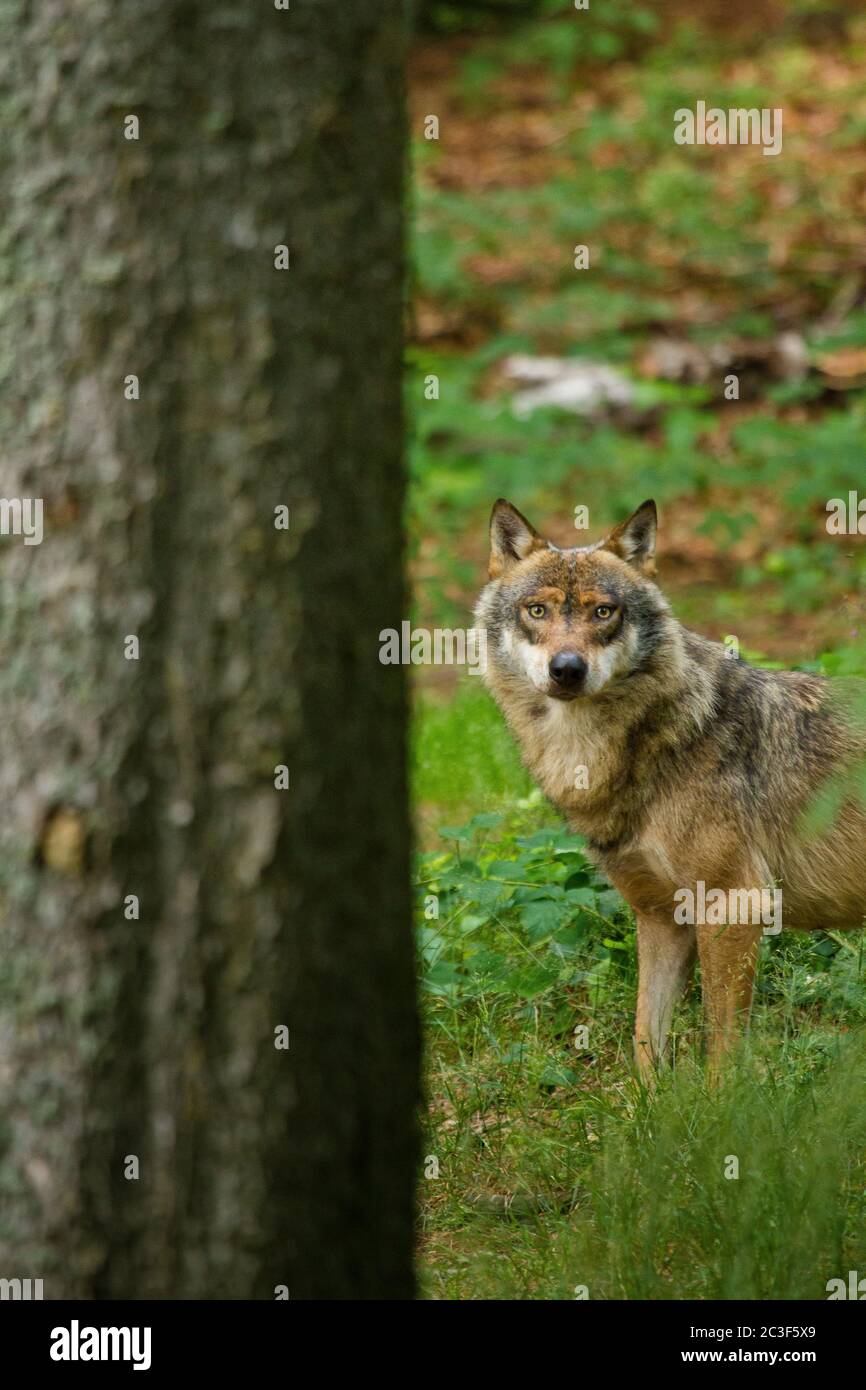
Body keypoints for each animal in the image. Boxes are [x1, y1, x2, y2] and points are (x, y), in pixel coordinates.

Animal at [475, 498, 866, 1077]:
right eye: (537, 611)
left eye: (603, 613)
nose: (567, 669)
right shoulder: (659, 917)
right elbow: (645, 1038)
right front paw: (650, 1102)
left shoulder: (733, 905)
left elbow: (722, 1051)